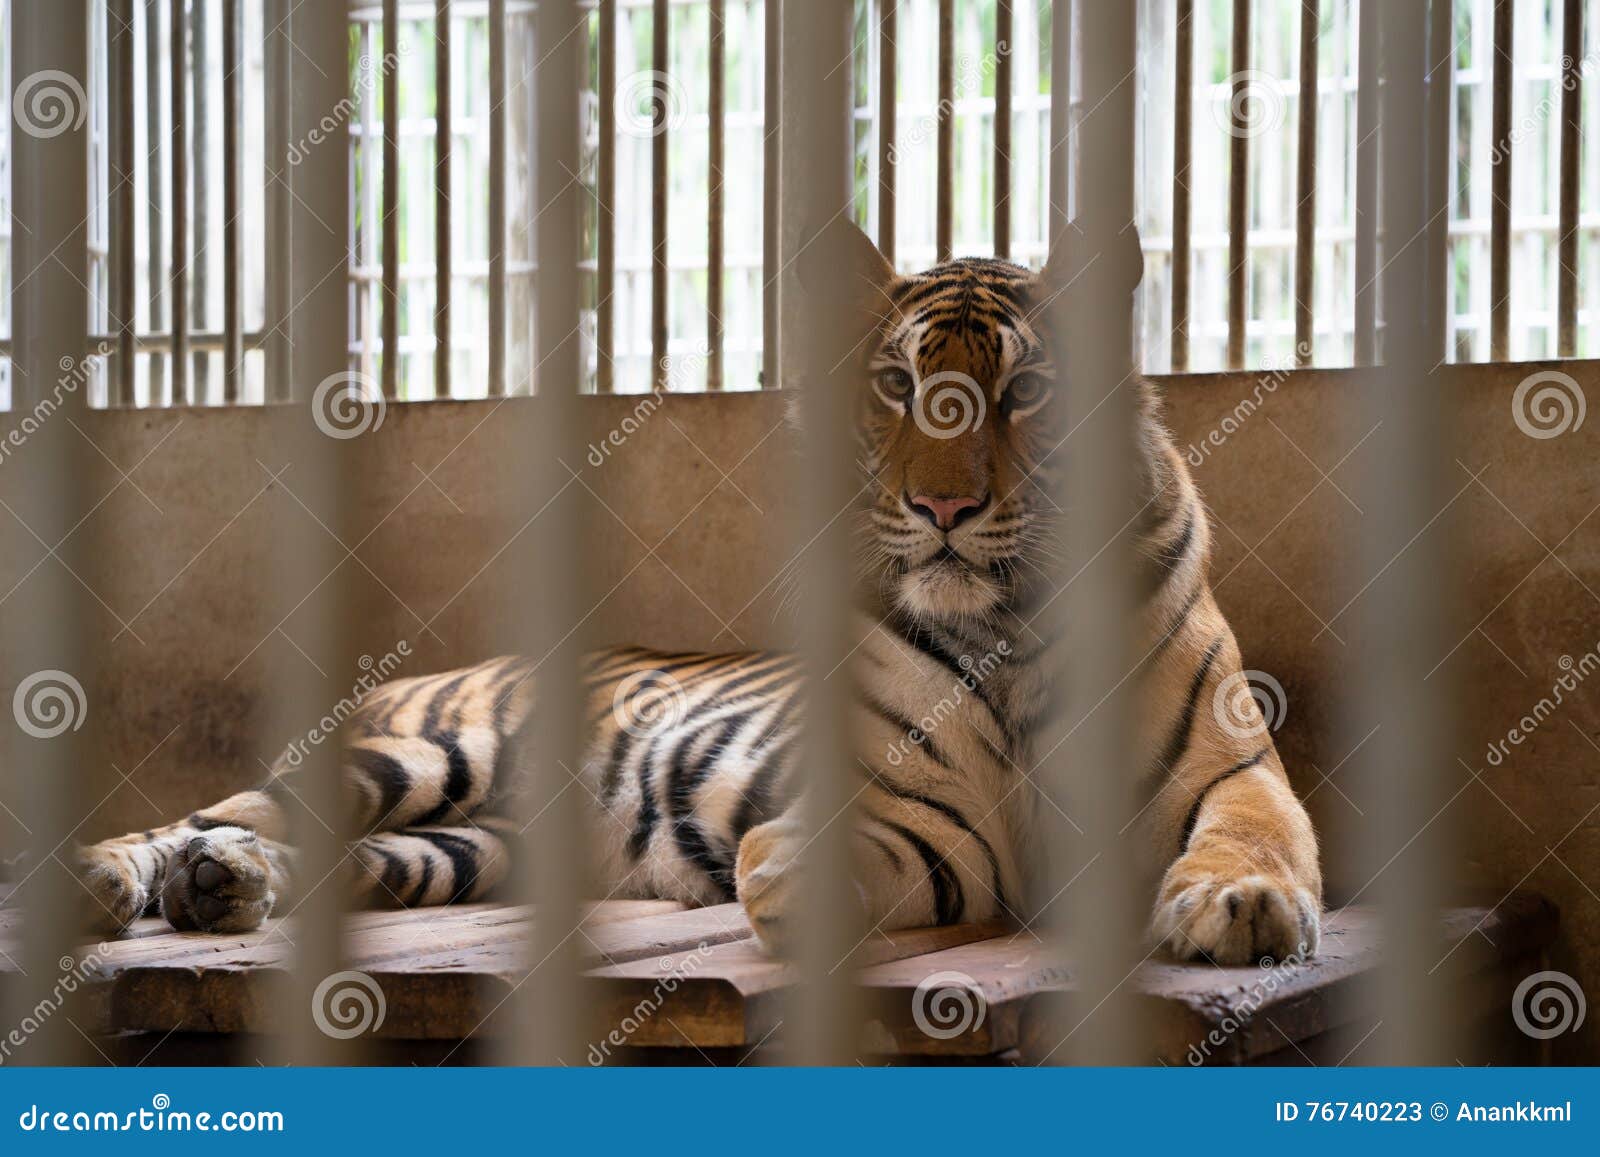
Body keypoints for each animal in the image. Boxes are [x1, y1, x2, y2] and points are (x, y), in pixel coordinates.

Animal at [70, 223, 1322, 966]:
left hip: (479, 842)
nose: (942, 506)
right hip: (429, 750)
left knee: (343, 854)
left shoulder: (1229, 767)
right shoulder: (934, 822)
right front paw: (789, 867)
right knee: (202, 813)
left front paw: (1239, 906)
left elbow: (1252, 831)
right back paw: (118, 876)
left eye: (1024, 391)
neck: (1001, 625)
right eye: (895, 382)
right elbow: (857, 856)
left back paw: (217, 888)